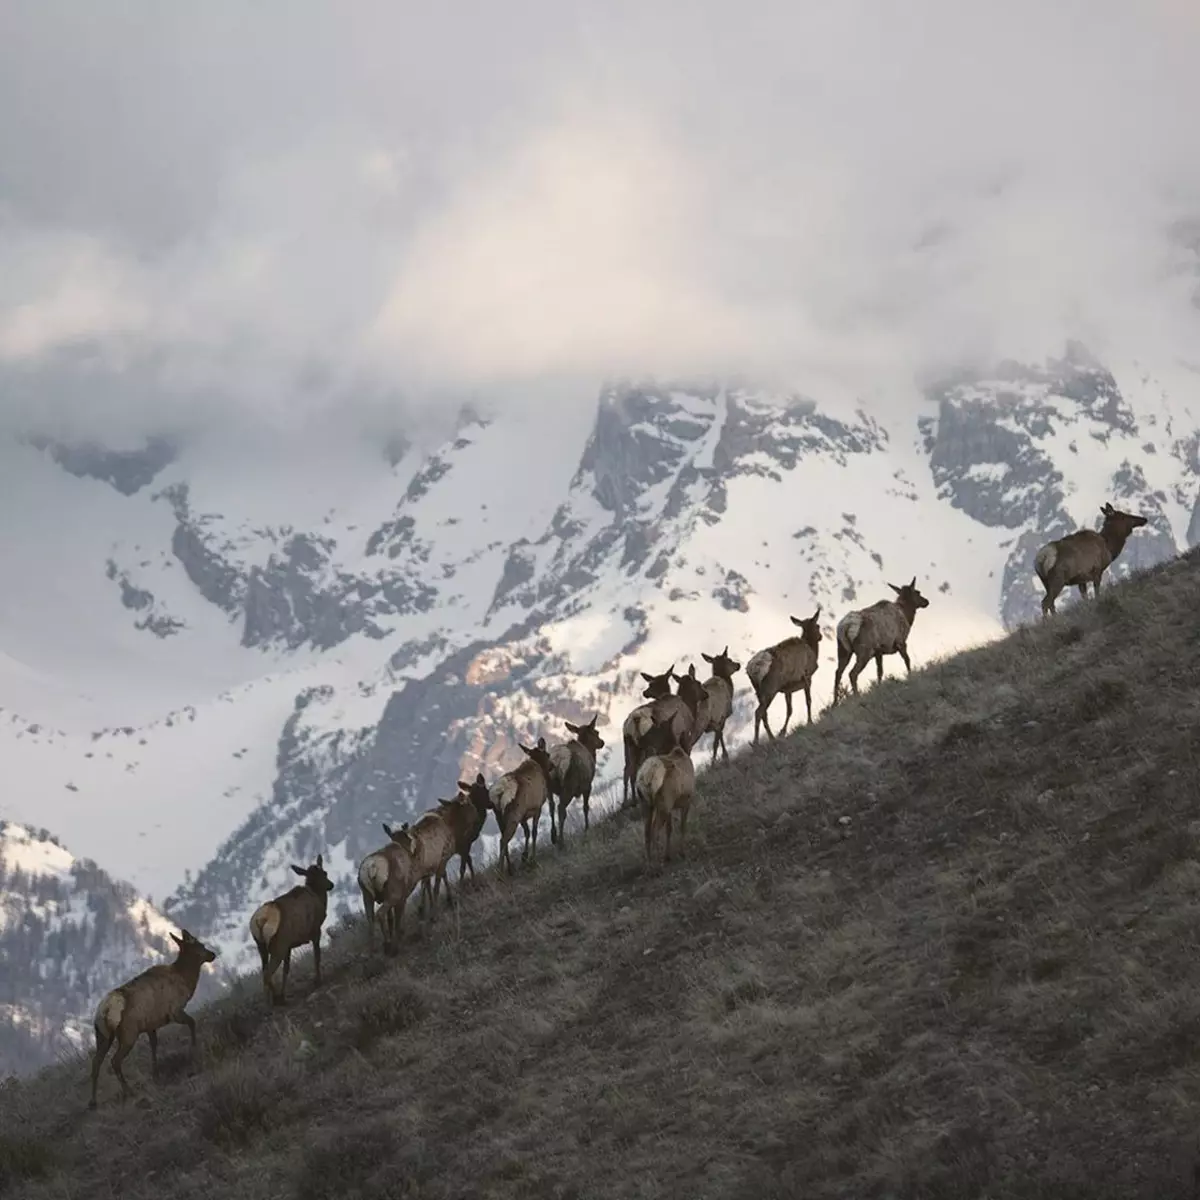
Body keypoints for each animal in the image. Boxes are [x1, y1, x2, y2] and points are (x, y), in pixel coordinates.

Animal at [88, 926, 218, 1104]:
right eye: (201, 945)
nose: (213, 954)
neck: (185, 980)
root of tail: (104, 1011)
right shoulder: (174, 1010)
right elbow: (192, 1022)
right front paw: (194, 1047)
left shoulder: (151, 1025)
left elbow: (154, 1046)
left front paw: (155, 1073)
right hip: (128, 1033)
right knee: (114, 1061)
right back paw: (128, 1091)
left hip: (102, 1035)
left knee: (96, 1063)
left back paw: (93, 1102)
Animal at [247, 854, 333, 1003]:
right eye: (325, 873)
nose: (331, 885)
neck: (319, 899)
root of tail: (260, 921)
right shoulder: (316, 930)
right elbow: (317, 956)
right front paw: (317, 980)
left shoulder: (289, 946)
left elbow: (286, 969)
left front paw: (284, 993)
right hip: (278, 945)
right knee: (267, 973)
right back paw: (276, 1000)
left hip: (262, 947)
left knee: (264, 970)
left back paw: (272, 999)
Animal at [552, 710, 609, 844]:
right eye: (596, 732)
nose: (602, 742)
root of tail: (558, 760)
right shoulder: (588, 785)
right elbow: (585, 807)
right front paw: (587, 828)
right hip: (569, 787)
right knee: (561, 809)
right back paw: (561, 841)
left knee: (551, 810)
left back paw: (554, 837)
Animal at [633, 715, 700, 868]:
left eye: (651, 729)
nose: (639, 740)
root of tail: (646, 776)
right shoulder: (687, 800)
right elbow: (682, 826)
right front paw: (682, 853)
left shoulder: (670, 806)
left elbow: (669, 829)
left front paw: (668, 856)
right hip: (663, 803)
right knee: (654, 831)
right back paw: (658, 864)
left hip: (647, 804)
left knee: (647, 833)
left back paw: (650, 864)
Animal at [744, 614, 820, 744]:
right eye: (818, 626)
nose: (820, 636)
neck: (812, 648)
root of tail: (753, 669)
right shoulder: (807, 677)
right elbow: (808, 701)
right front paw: (810, 722)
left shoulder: (788, 689)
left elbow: (789, 710)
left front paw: (782, 732)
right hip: (770, 689)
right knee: (758, 712)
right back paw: (756, 742)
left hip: (759, 692)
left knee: (764, 714)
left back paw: (771, 737)